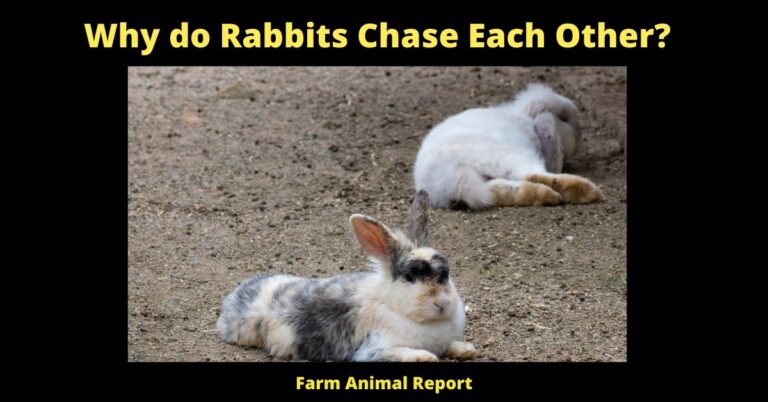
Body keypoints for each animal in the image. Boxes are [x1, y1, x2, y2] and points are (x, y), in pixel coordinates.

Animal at [217, 190, 476, 362]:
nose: (441, 303)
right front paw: (426, 357)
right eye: (409, 278)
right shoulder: (374, 349)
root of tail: (233, 299)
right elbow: (408, 354)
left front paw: (466, 349)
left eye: (446, 274)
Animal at [414, 83, 605, 209]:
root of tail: (451, 176)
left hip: (487, 181)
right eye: (565, 119)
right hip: (507, 155)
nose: (578, 140)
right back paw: (584, 191)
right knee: (530, 174)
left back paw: (548, 195)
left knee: (498, 191)